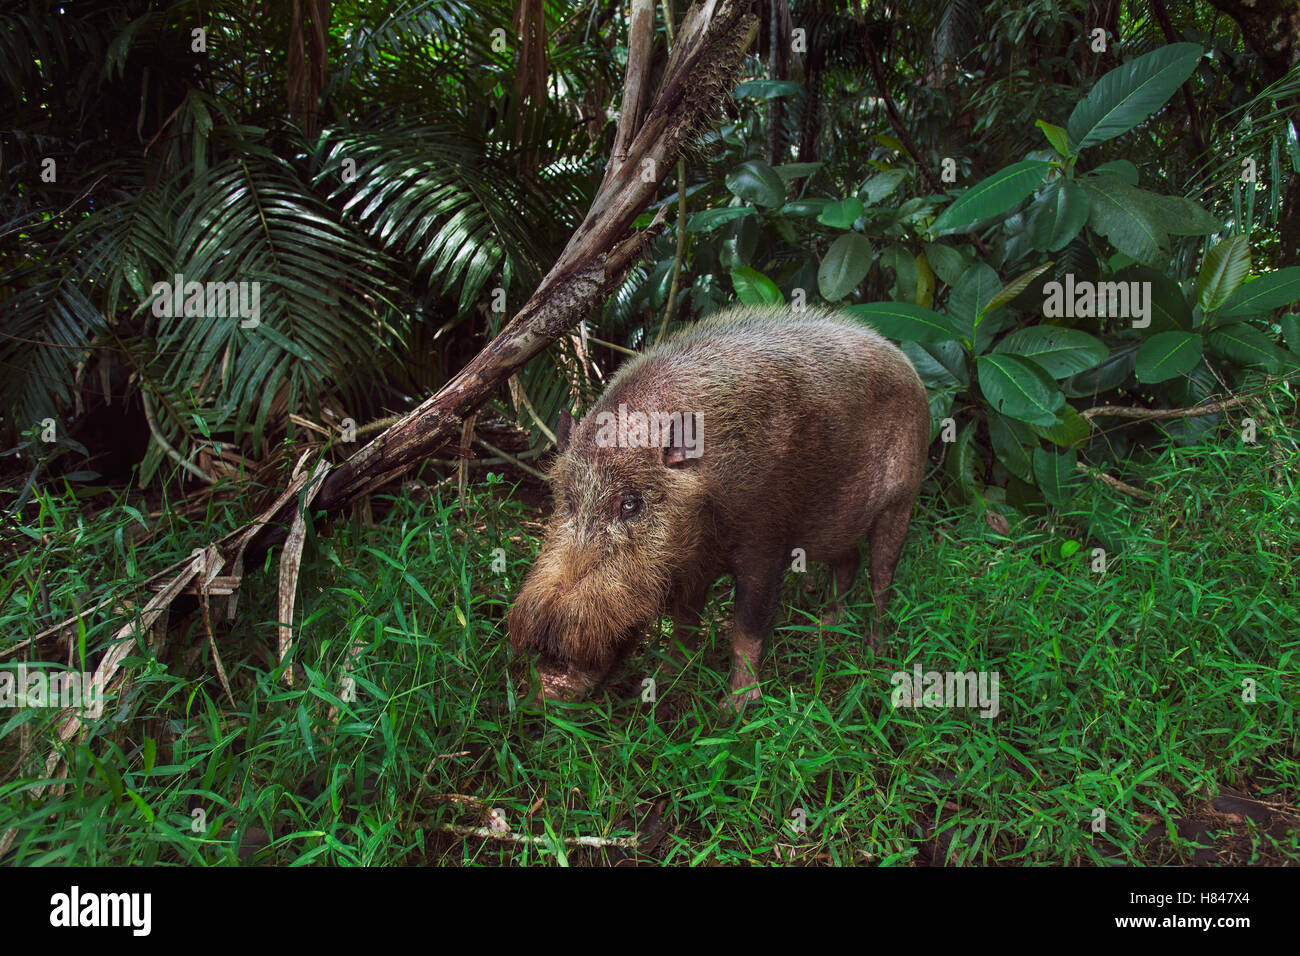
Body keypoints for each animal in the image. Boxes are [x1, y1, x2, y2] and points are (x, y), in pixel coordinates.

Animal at [507, 305, 930, 707]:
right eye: (568, 499)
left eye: (630, 504)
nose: (548, 680)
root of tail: (907, 365)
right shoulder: (693, 567)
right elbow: (684, 624)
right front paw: (662, 684)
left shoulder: (767, 541)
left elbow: (747, 627)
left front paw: (733, 711)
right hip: (836, 527)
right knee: (848, 562)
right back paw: (824, 631)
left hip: (902, 499)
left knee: (881, 578)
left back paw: (873, 651)